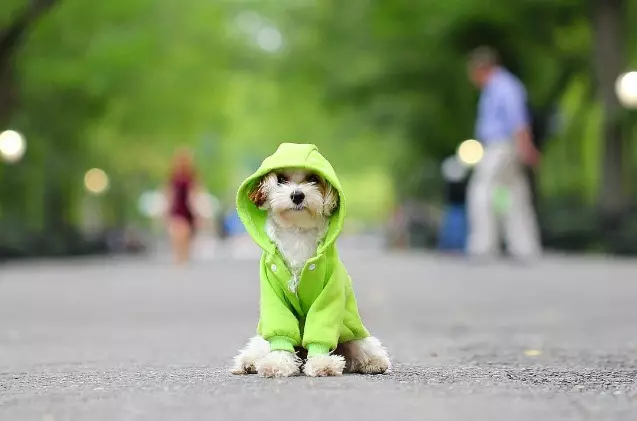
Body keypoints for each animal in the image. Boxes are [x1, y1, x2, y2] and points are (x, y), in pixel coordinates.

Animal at [229, 144, 388, 378]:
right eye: (281, 179)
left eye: (313, 179)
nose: (297, 195)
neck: (298, 232)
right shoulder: (272, 292)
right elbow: (280, 332)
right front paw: (277, 362)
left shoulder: (329, 293)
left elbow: (321, 325)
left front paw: (322, 362)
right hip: (261, 339)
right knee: (258, 346)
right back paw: (248, 362)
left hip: (353, 333)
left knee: (362, 345)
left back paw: (373, 362)